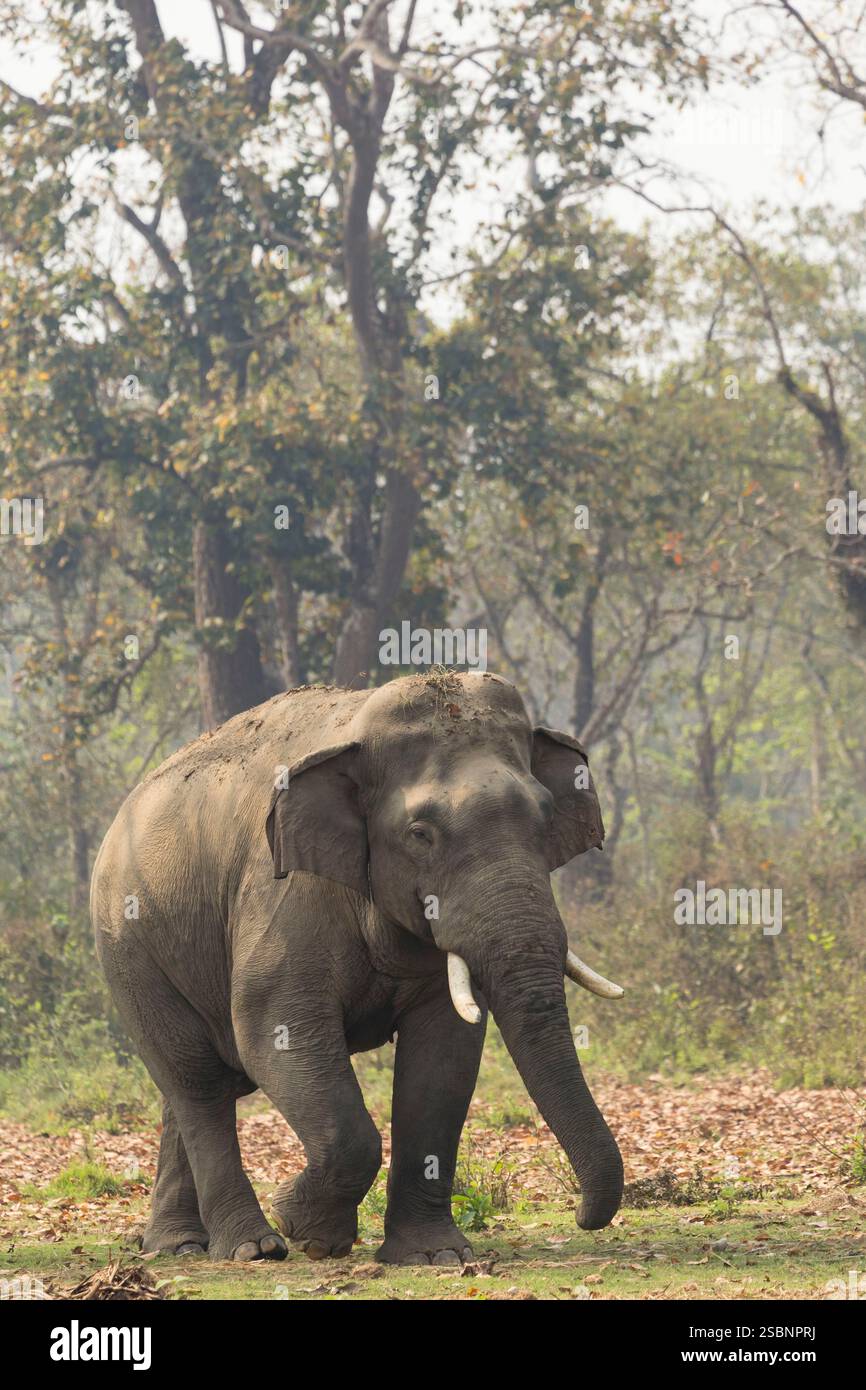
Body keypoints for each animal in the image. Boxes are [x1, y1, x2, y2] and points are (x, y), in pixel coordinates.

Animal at [91, 669, 624, 1265]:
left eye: (546, 817)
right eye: (421, 834)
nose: (582, 1215)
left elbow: (444, 1056)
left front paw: (433, 1256)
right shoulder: (284, 896)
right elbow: (270, 1030)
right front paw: (306, 1228)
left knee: (187, 1088)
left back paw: (180, 1245)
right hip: (130, 950)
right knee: (197, 1081)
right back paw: (252, 1248)